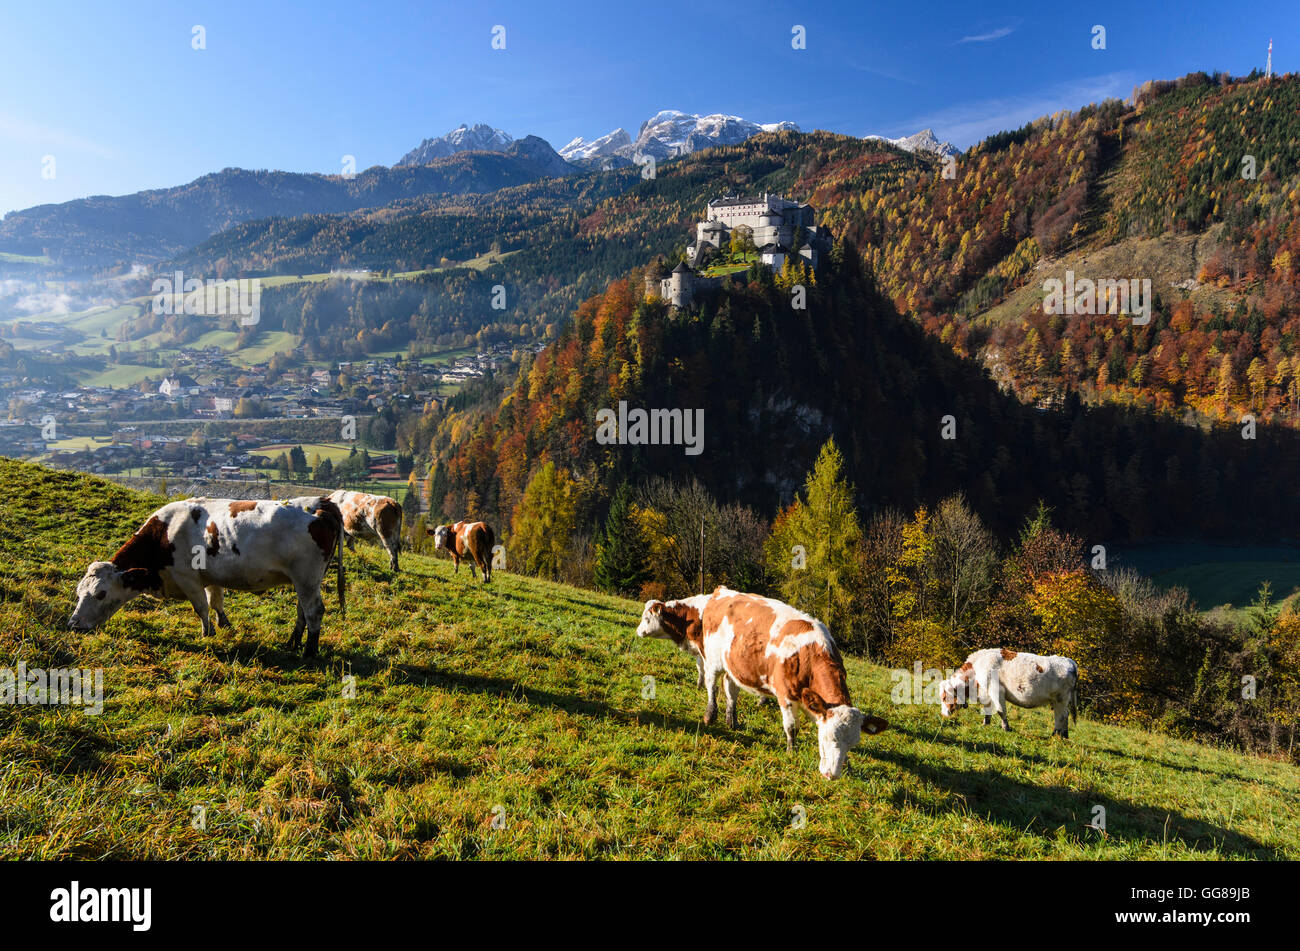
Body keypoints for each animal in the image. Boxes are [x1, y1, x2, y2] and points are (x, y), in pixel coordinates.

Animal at [69, 497, 346, 658]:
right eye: (78, 592)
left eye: (100, 594)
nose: (73, 624)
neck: (163, 534)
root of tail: (322, 503)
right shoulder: (211, 576)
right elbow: (216, 601)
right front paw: (224, 624)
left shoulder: (187, 578)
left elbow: (201, 607)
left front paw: (207, 633)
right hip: (304, 580)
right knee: (302, 611)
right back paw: (292, 643)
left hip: (307, 577)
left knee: (314, 611)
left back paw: (309, 652)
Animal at [636, 586, 888, 779]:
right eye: (827, 737)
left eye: (853, 744)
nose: (831, 775)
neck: (809, 653)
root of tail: (722, 592)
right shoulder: (785, 695)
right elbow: (791, 727)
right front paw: (791, 751)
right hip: (715, 660)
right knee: (712, 686)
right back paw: (711, 714)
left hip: (734, 664)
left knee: (731, 691)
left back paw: (732, 721)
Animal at [938, 648, 1079, 738]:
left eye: (945, 697)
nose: (944, 714)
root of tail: (1069, 661)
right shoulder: (985, 693)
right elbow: (987, 709)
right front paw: (985, 724)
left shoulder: (997, 691)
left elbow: (1001, 711)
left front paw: (1006, 728)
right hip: (1058, 700)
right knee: (1063, 715)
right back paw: (1064, 735)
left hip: (1061, 699)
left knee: (1062, 715)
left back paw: (1056, 734)